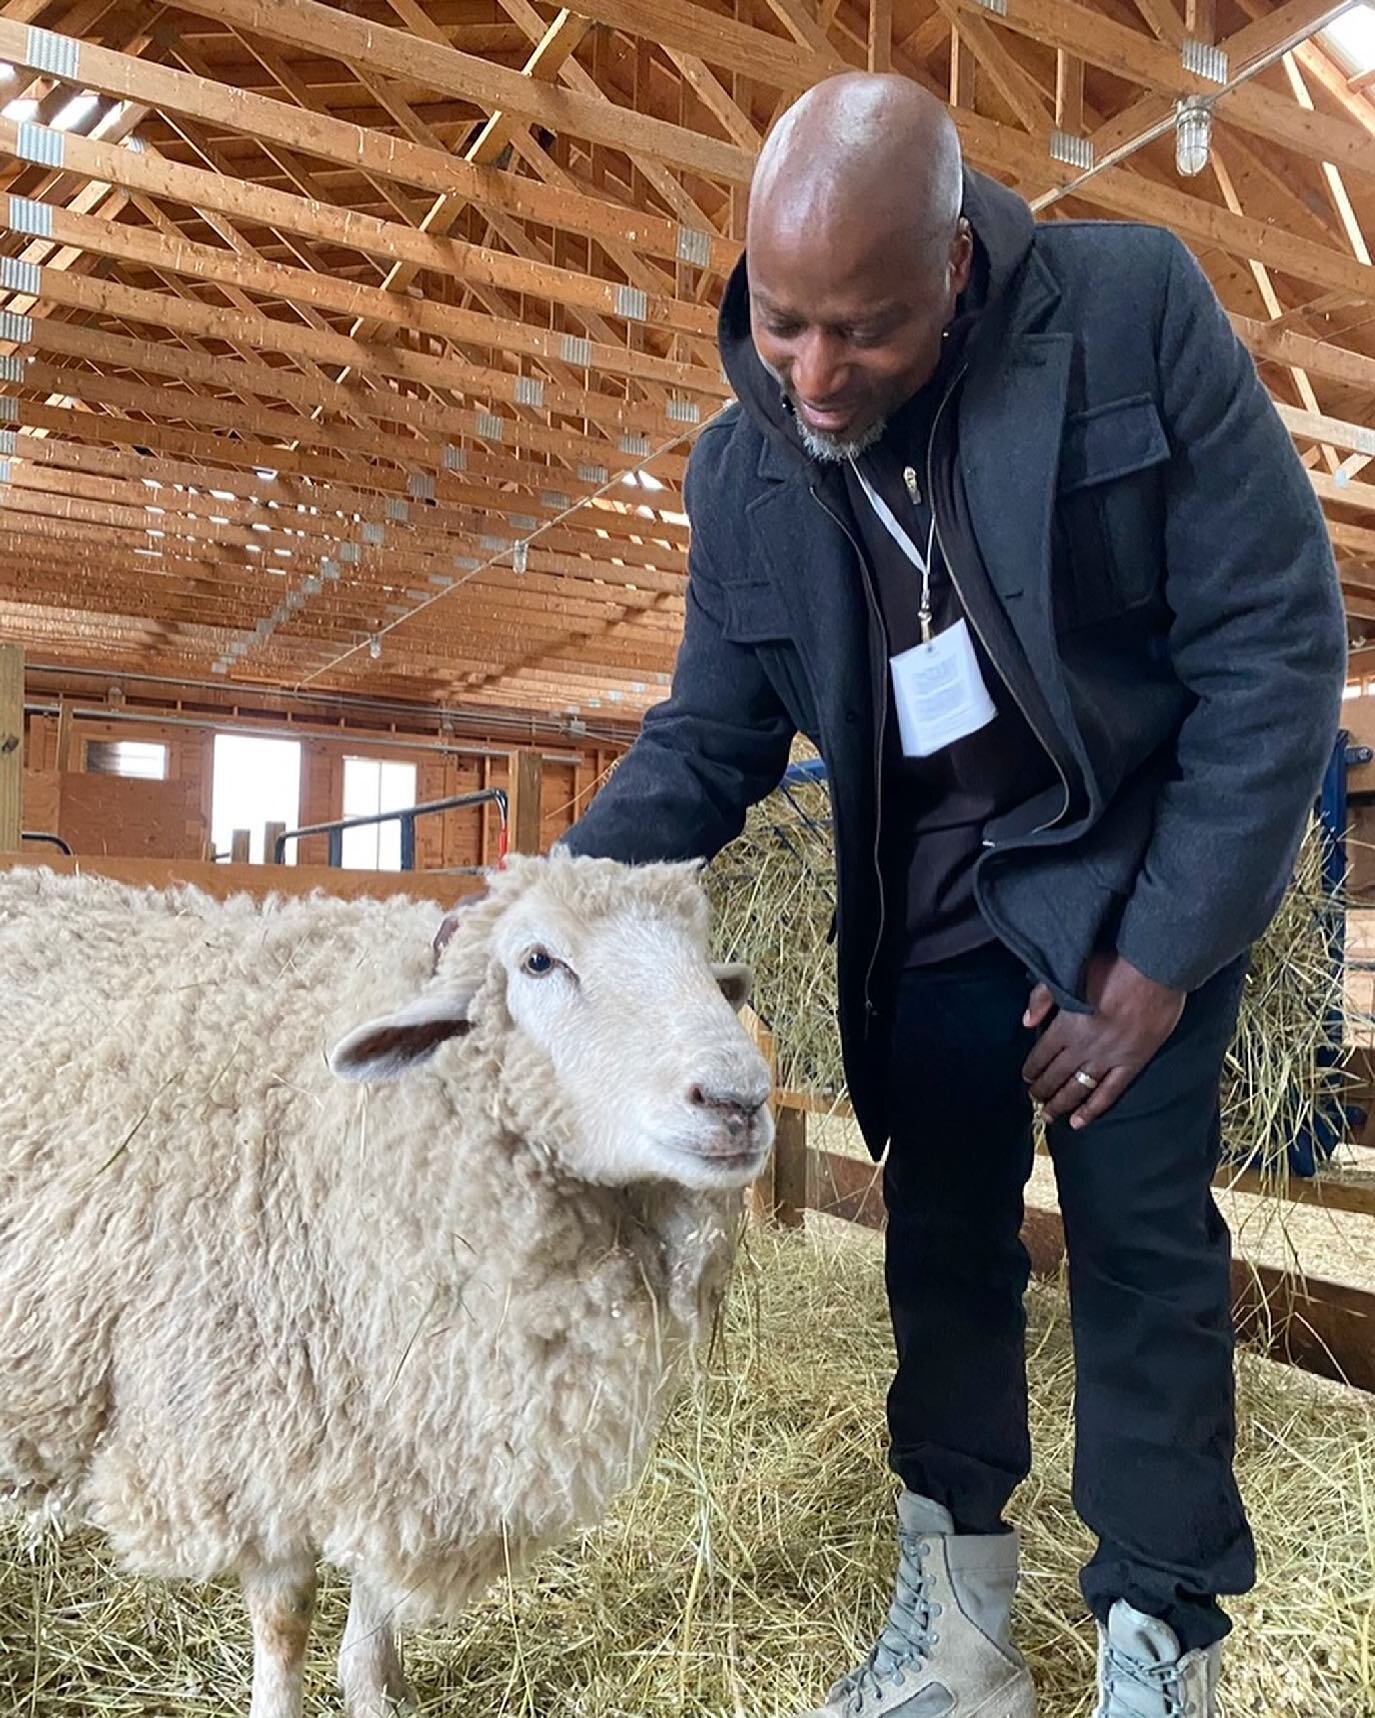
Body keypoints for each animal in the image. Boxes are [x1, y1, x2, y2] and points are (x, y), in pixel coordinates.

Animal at [0, 859, 773, 1718]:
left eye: (698, 954)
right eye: (538, 961)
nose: (739, 1101)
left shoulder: (401, 1422)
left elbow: (374, 1583)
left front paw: (375, 1687)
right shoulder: (255, 1426)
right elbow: (285, 1612)